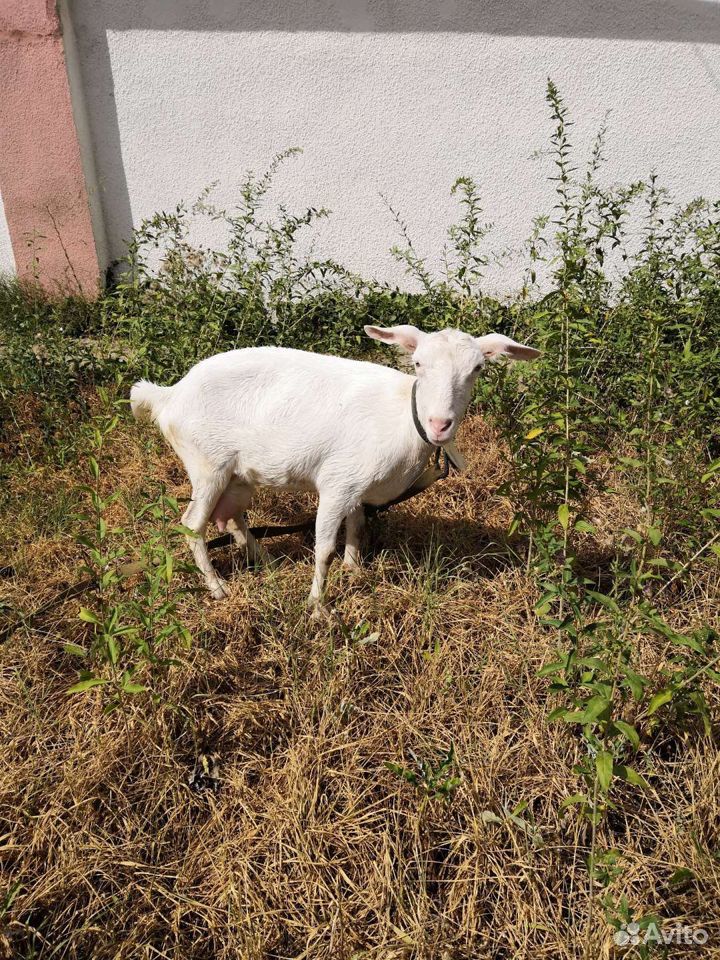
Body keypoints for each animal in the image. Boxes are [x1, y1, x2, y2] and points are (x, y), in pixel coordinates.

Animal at [130, 325, 540, 613]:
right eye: (419, 363)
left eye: (477, 368)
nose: (440, 424)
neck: (401, 418)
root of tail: (168, 395)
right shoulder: (336, 482)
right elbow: (324, 547)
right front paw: (317, 606)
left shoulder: (357, 484)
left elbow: (357, 526)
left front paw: (355, 570)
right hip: (206, 463)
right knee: (191, 525)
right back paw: (217, 588)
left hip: (237, 474)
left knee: (232, 518)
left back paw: (265, 561)